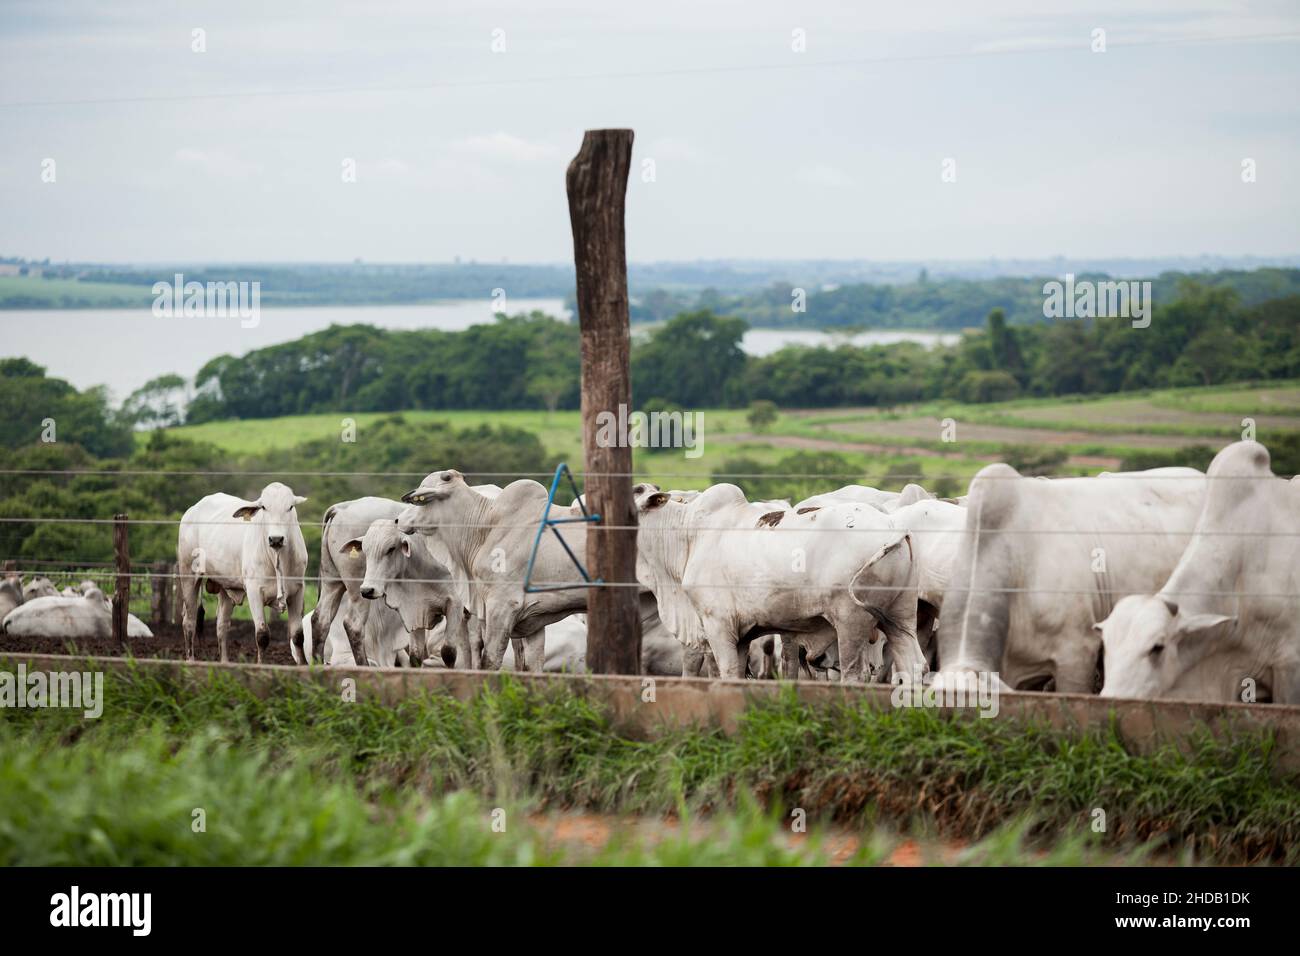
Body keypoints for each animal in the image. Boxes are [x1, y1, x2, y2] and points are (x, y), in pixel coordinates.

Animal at [177, 481, 308, 662]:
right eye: (264, 507)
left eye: (290, 507)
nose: (276, 539)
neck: (278, 559)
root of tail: (192, 510)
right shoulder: (254, 592)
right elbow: (262, 635)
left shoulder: (297, 590)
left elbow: (298, 636)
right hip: (188, 577)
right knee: (189, 622)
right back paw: (191, 661)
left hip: (225, 587)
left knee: (222, 625)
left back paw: (225, 662)